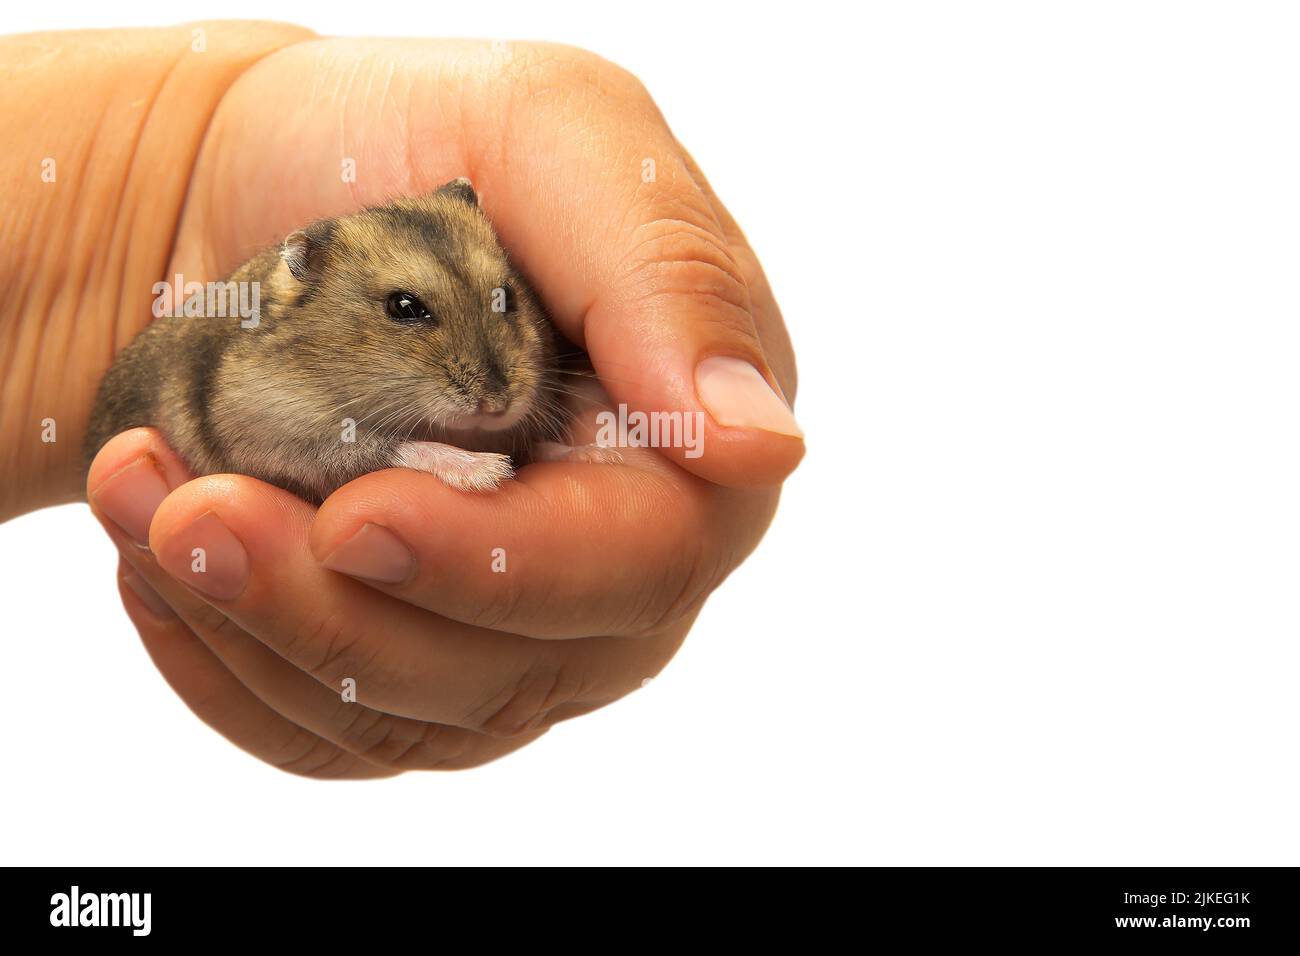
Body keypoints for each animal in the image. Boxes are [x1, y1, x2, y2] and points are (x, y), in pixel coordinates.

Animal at [84, 179, 590, 504]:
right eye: (404, 307)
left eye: (509, 296)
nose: (497, 404)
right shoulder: (280, 441)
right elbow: (394, 448)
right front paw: (488, 471)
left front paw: (588, 449)